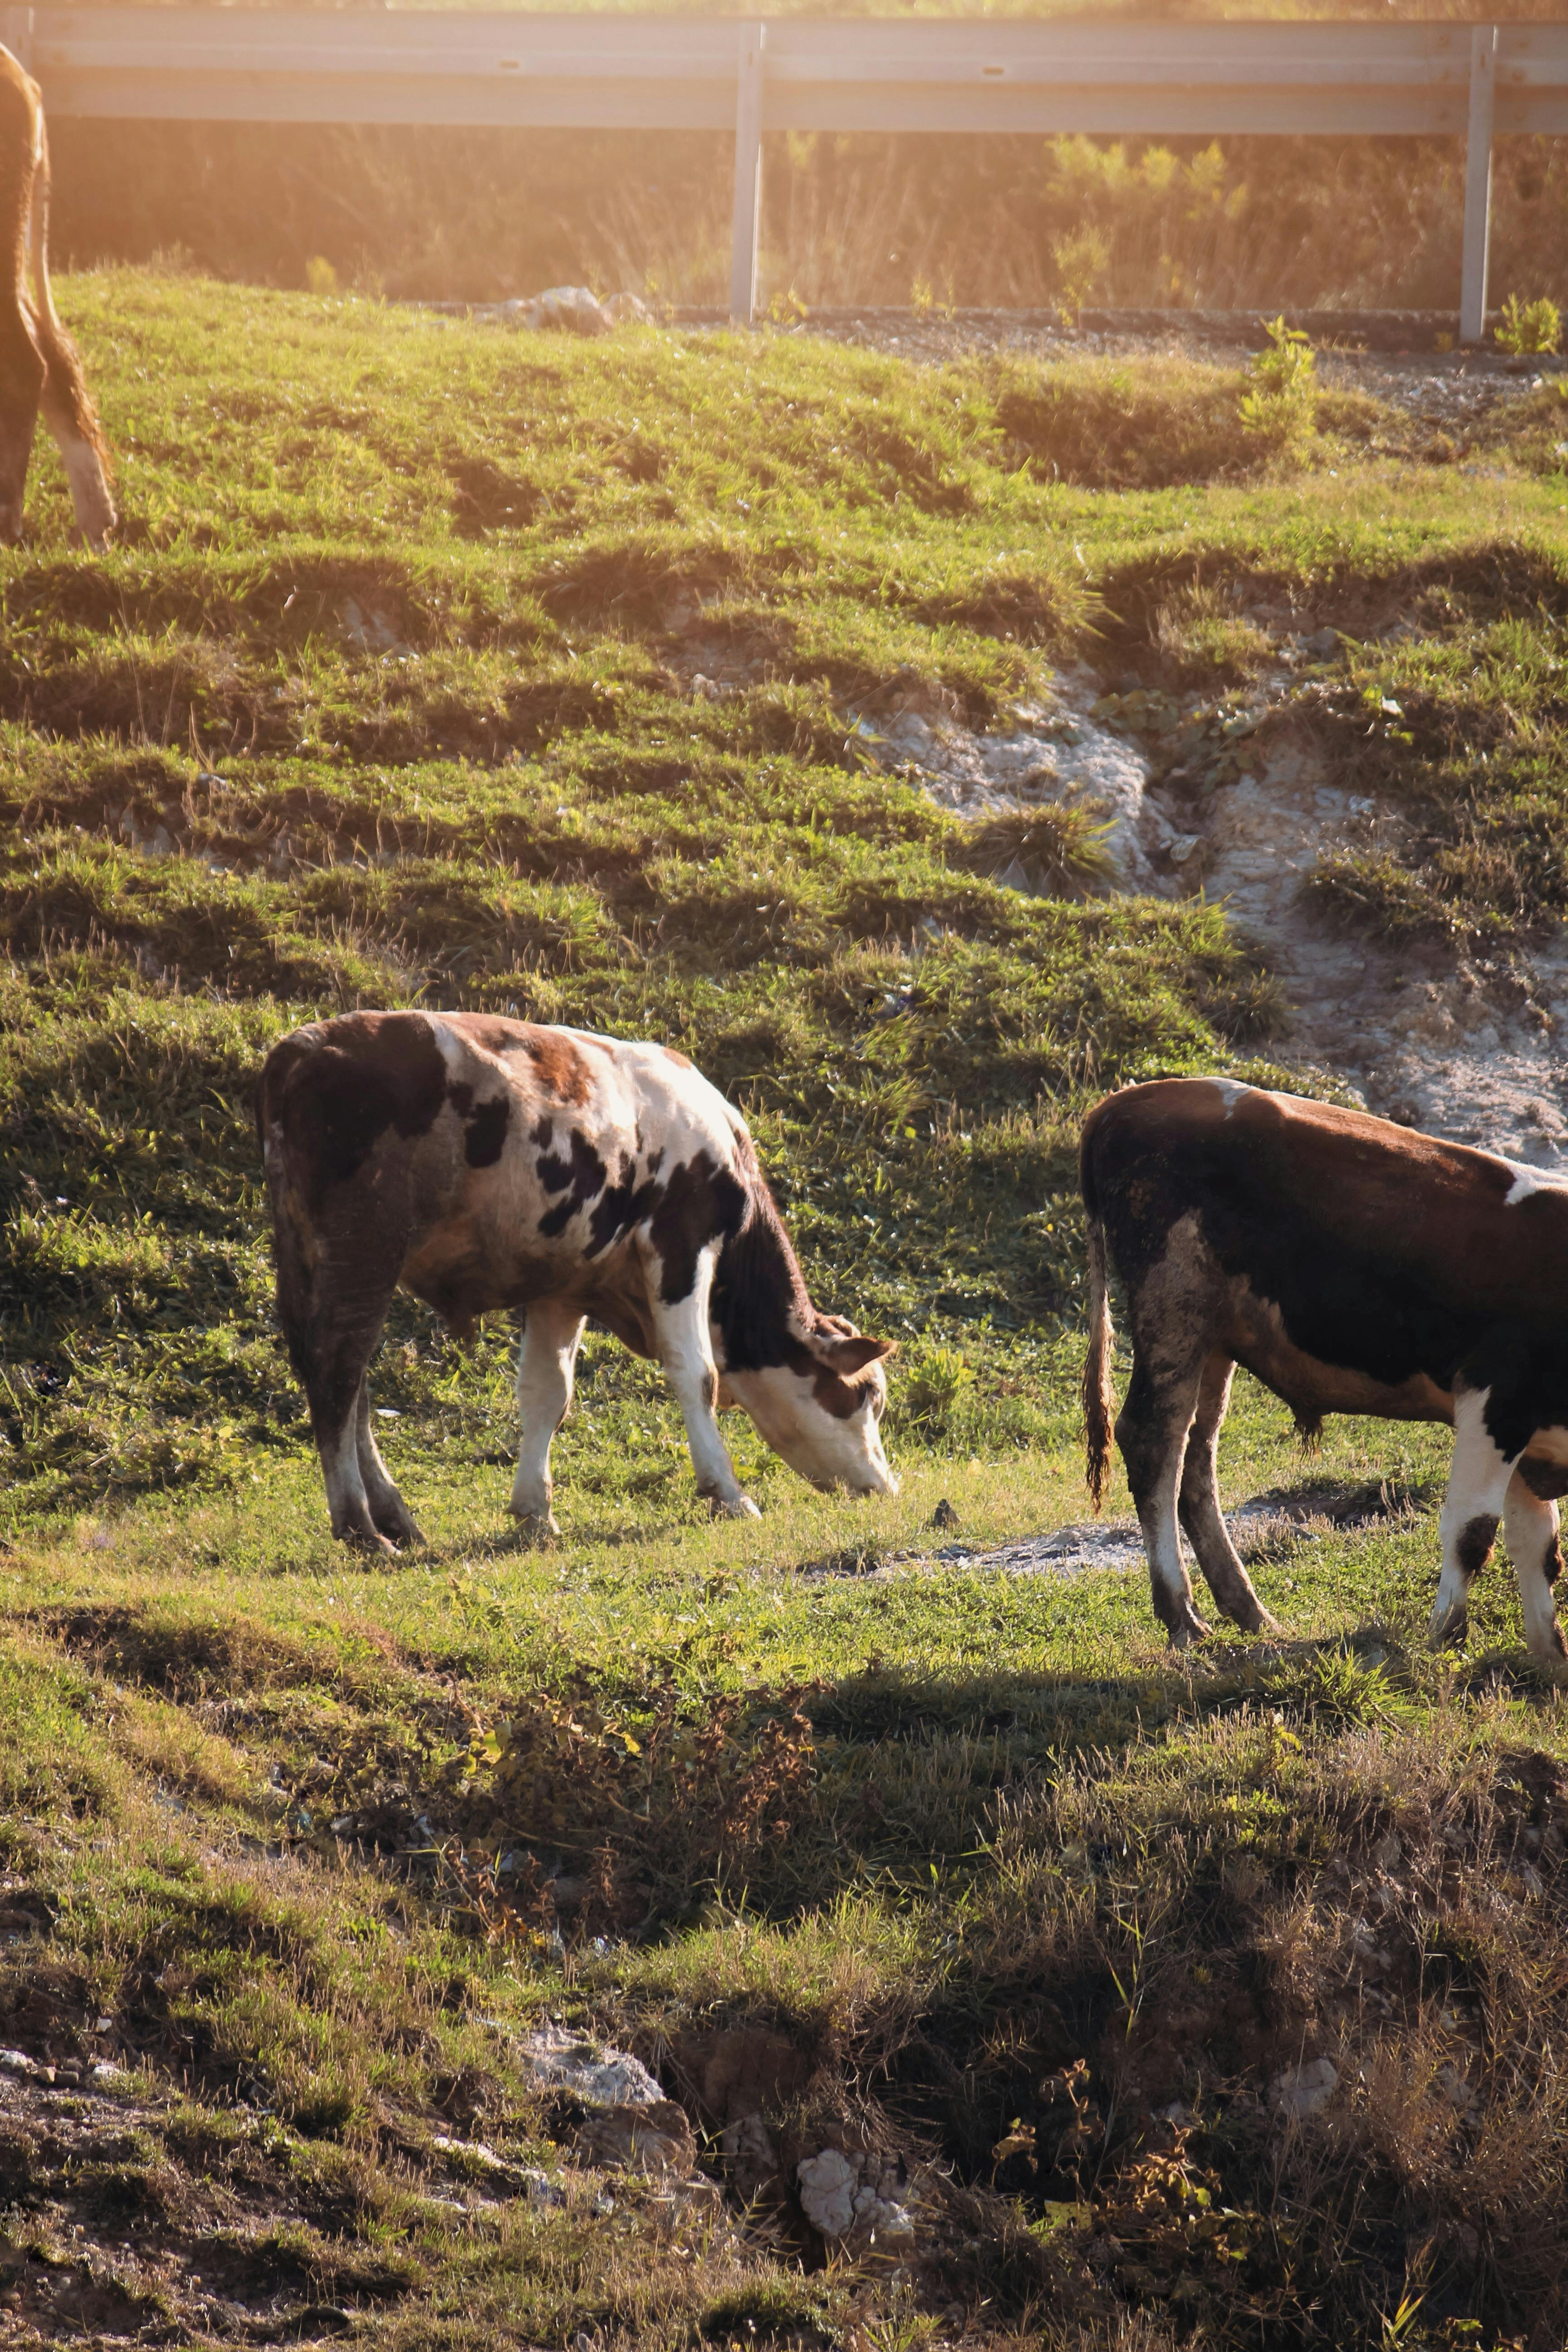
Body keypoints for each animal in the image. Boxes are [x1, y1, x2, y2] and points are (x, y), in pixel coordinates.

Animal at [258, 1011, 898, 1551]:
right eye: (866, 1395)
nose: (885, 1487)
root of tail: (301, 1048)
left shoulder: (563, 1286)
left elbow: (548, 1392)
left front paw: (535, 1512)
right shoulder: (681, 1243)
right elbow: (696, 1373)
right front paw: (728, 1492)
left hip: (312, 1255)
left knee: (347, 1380)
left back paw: (396, 1517)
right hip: (365, 1245)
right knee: (339, 1373)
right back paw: (362, 1527)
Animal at [1080, 1075, 1568, 1661]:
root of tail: (1120, 1102)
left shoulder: (1527, 1427)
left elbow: (1537, 1544)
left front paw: (1550, 1658)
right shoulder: (1494, 1395)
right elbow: (1472, 1531)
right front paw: (1446, 1635)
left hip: (1213, 1339)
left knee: (1197, 1457)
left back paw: (1248, 1611)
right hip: (1173, 1304)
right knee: (1154, 1441)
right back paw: (1183, 1615)